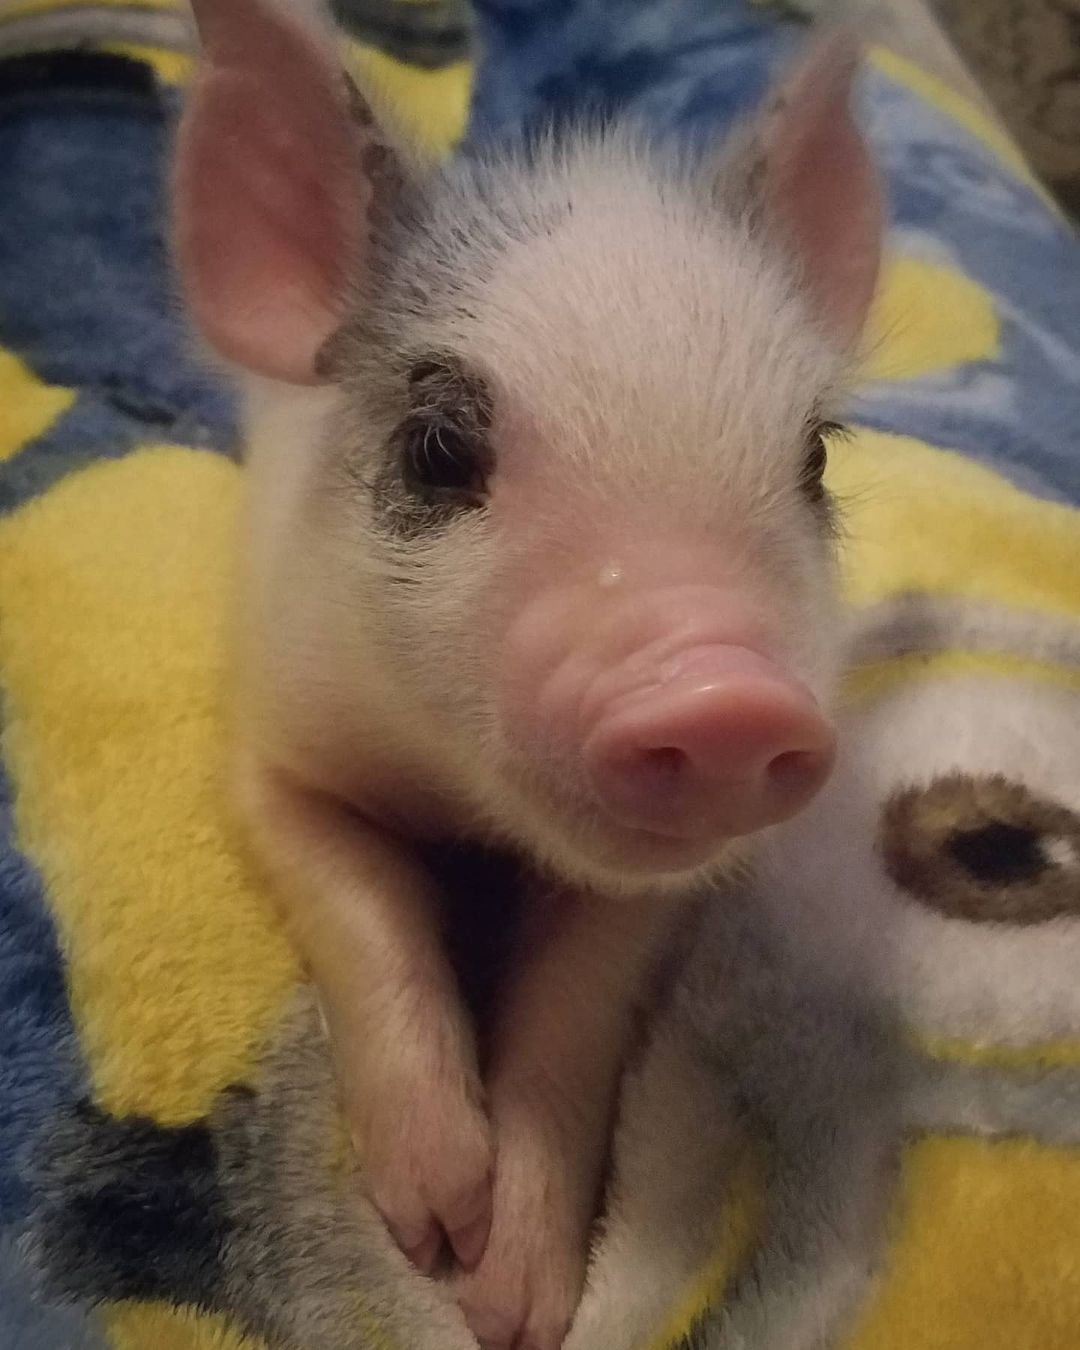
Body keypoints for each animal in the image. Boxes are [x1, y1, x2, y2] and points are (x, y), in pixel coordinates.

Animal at [172, 2, 882, 1346]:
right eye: (440, 447)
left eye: (815, 460)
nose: (724, 692)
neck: (467, 804)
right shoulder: (269, 746)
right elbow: (367, 909)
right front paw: (437, 1227)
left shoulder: (654, 892)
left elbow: (573, 1008)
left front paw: (517, 1302)